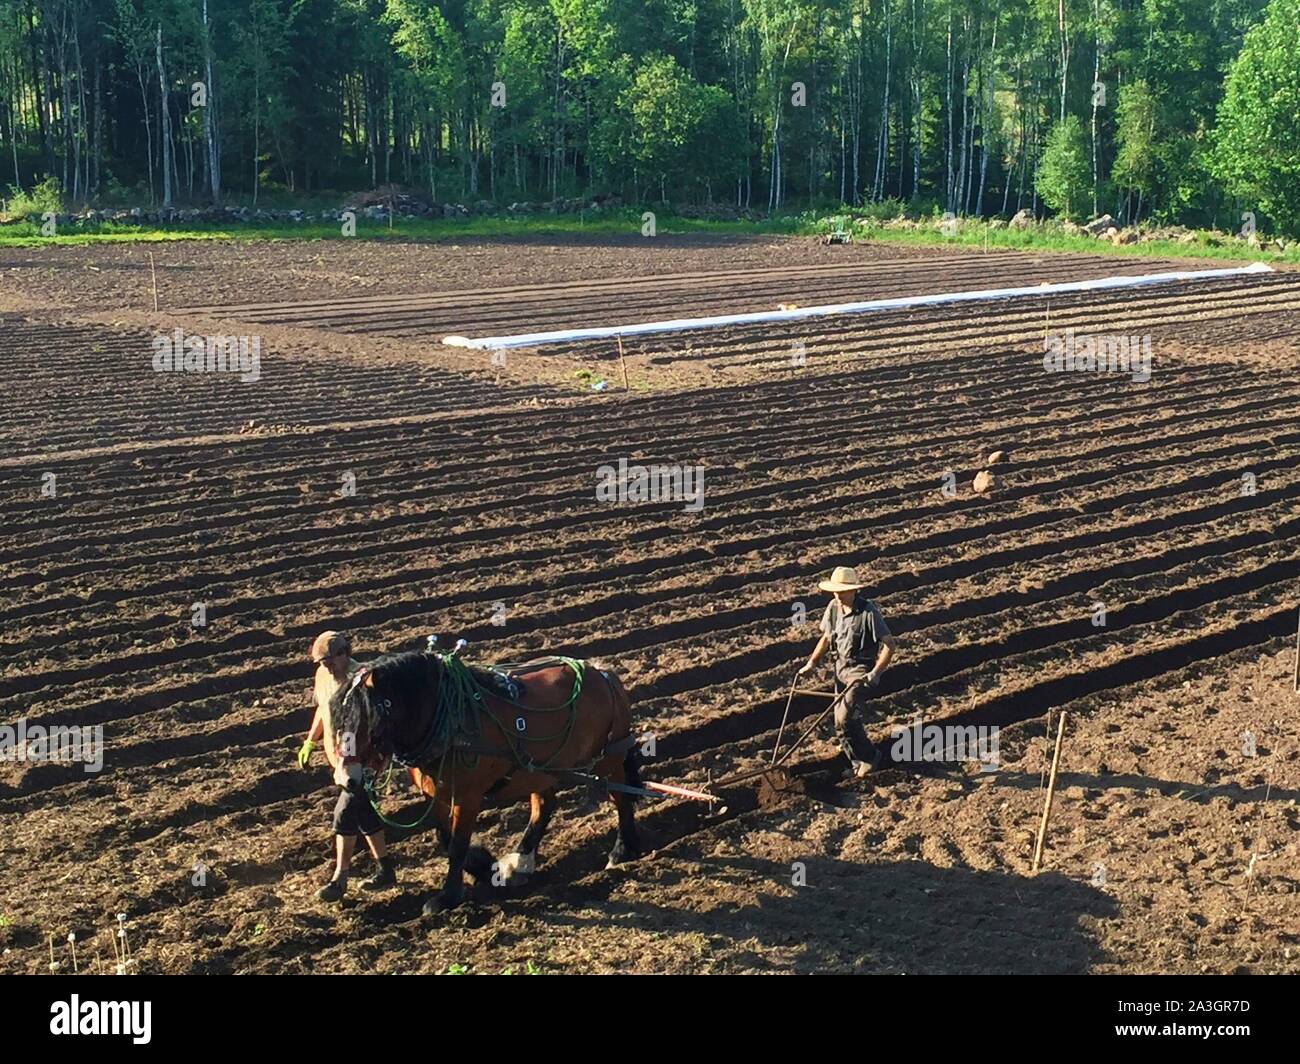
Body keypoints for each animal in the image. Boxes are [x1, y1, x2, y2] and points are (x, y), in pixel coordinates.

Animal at [328, 649, 643, 915]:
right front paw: (485, 867)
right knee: (544, 806)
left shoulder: (468, 797)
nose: (347, 778)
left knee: (620, 799)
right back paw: (521, 861)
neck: (448, 722)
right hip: (540, 769)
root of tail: (603, 673)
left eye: (367, 719)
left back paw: (621, 851)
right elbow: (445, 838)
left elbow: (456, 845)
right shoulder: (437, 795)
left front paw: (447, 897)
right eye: (339, 720)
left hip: (608, 759)